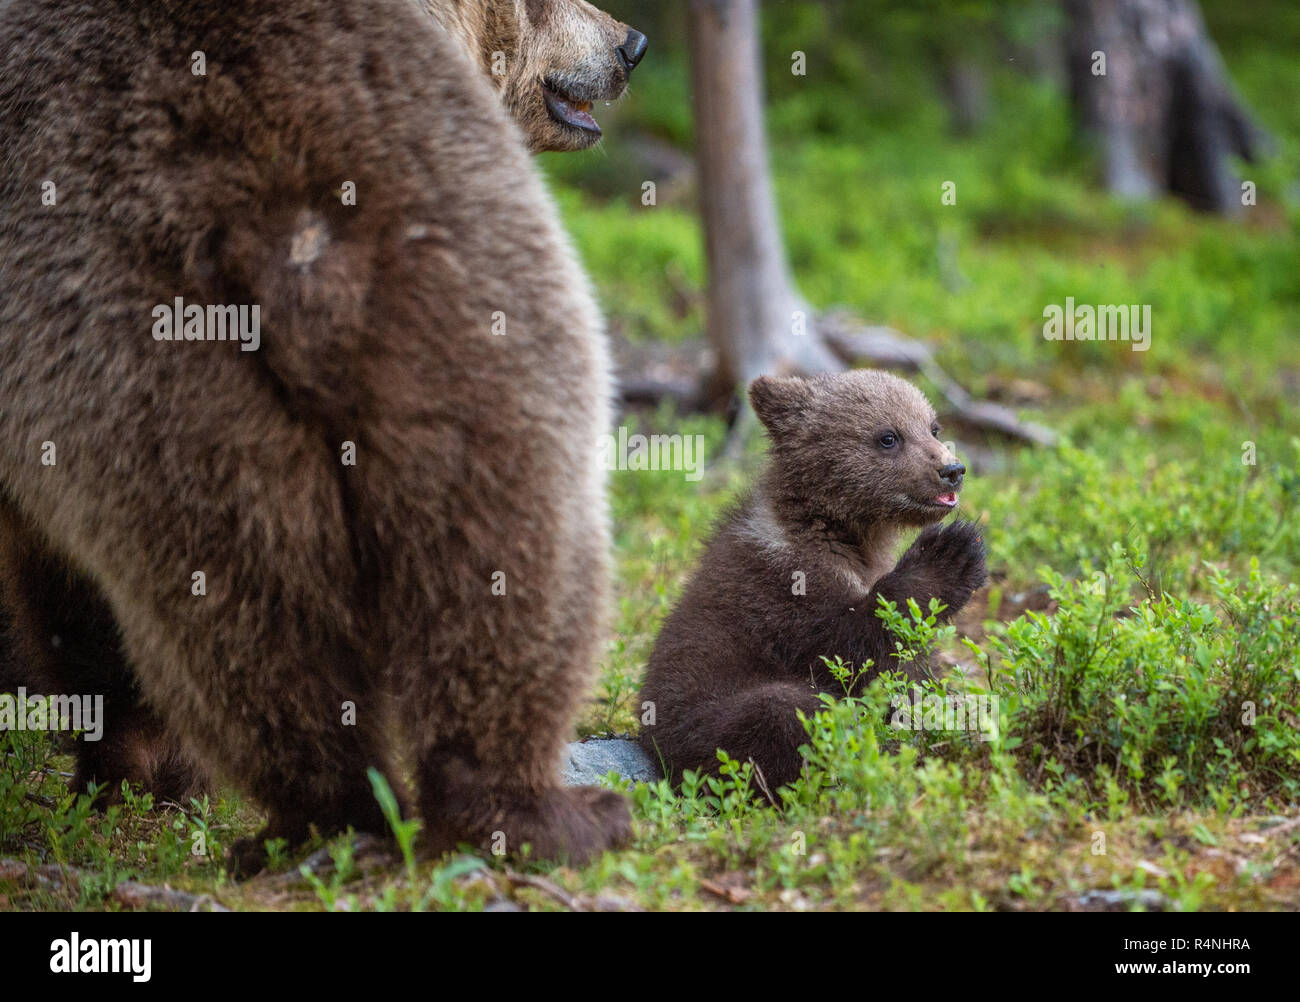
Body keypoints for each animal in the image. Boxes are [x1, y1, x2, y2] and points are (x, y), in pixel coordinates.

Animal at [638, 370, 988, 789]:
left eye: (933, 426)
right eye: (888, 436)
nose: (952, 470)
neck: (844, 531)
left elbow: (906, 666)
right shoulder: (783, 587)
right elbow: (846, 649)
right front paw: (950, 553)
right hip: (700, 723)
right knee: (783, 711)